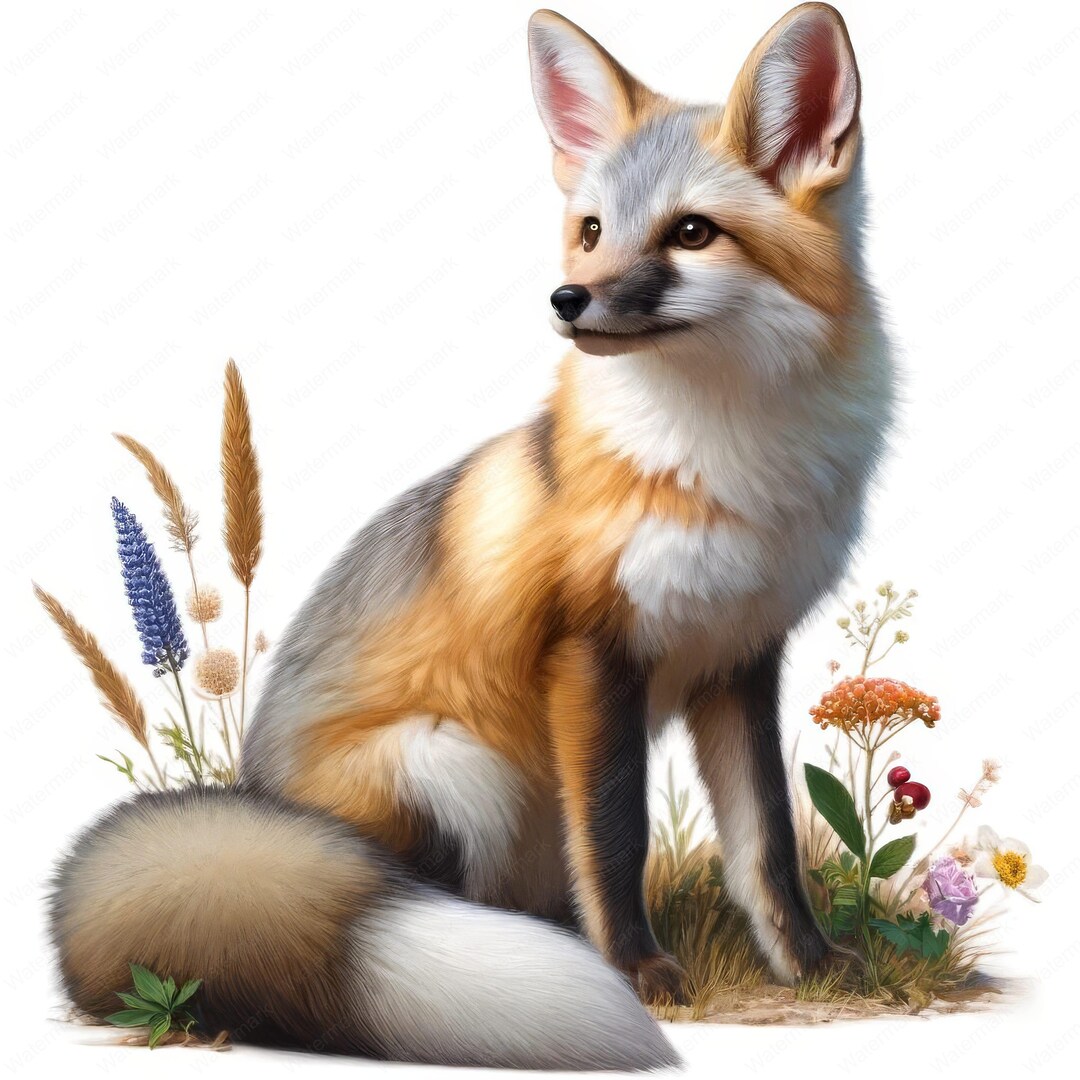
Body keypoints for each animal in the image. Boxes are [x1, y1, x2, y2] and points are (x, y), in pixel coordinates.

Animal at [49, 4, 894, 1071]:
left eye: (693, 233)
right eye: (590, 232)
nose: (567, 300)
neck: (723, 468)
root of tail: (254, 796)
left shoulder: (739, 656)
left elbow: (766, 848)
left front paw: (810, 966)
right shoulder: (590, 651)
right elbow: (615, 834)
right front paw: (642, 976)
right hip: (455, 769)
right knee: (416, 903)